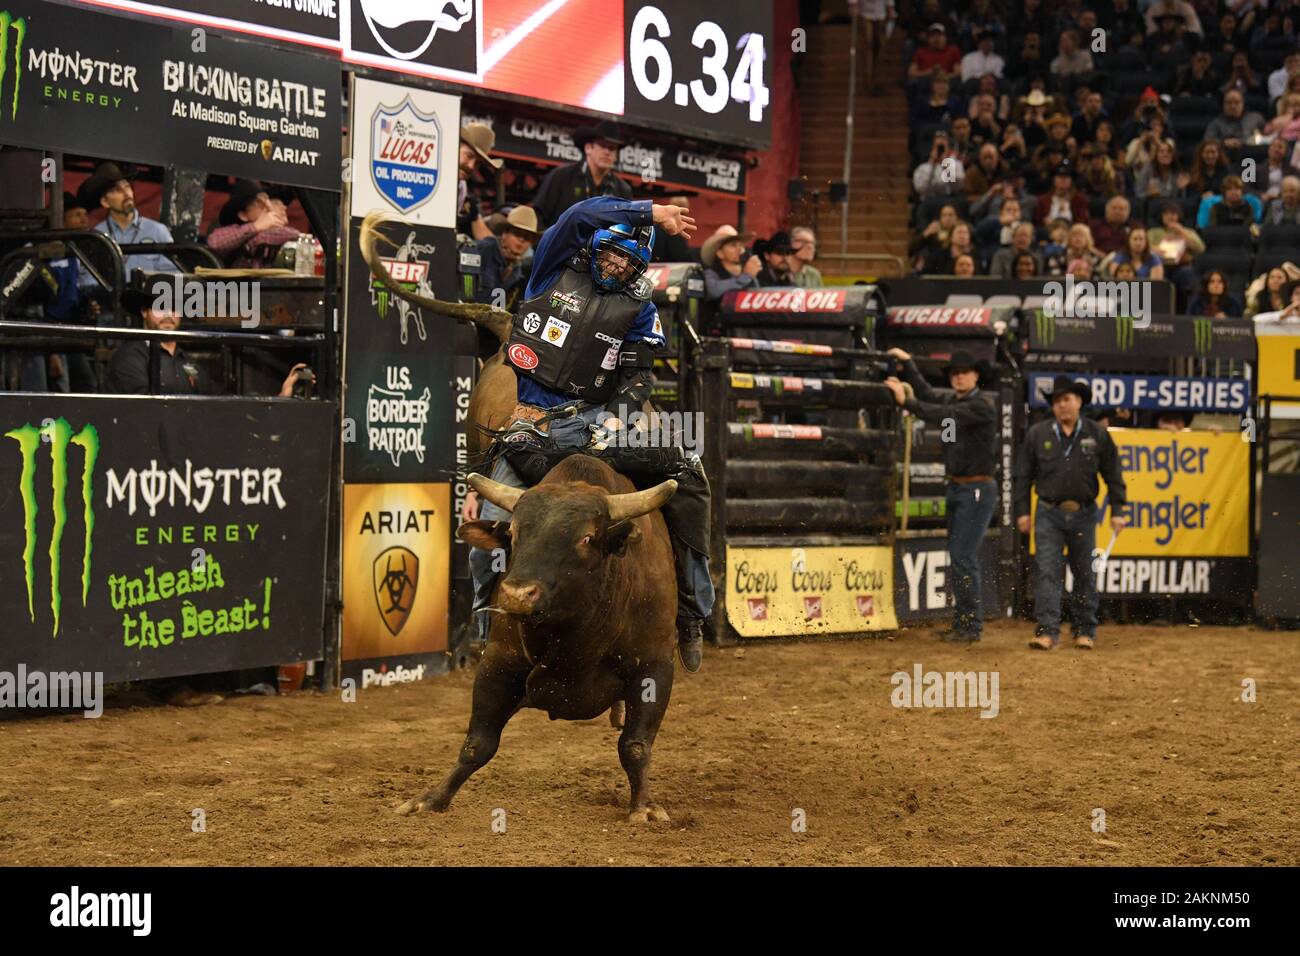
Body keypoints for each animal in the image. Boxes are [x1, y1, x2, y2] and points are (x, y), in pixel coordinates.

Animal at [396, 456, 681, 823]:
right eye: (513, 533)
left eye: (587, 538)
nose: (517, 595)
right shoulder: (498, 662)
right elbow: (477, 743)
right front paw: (431, 799)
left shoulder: (655, 666)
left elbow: (635, 745)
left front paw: (643, 807)